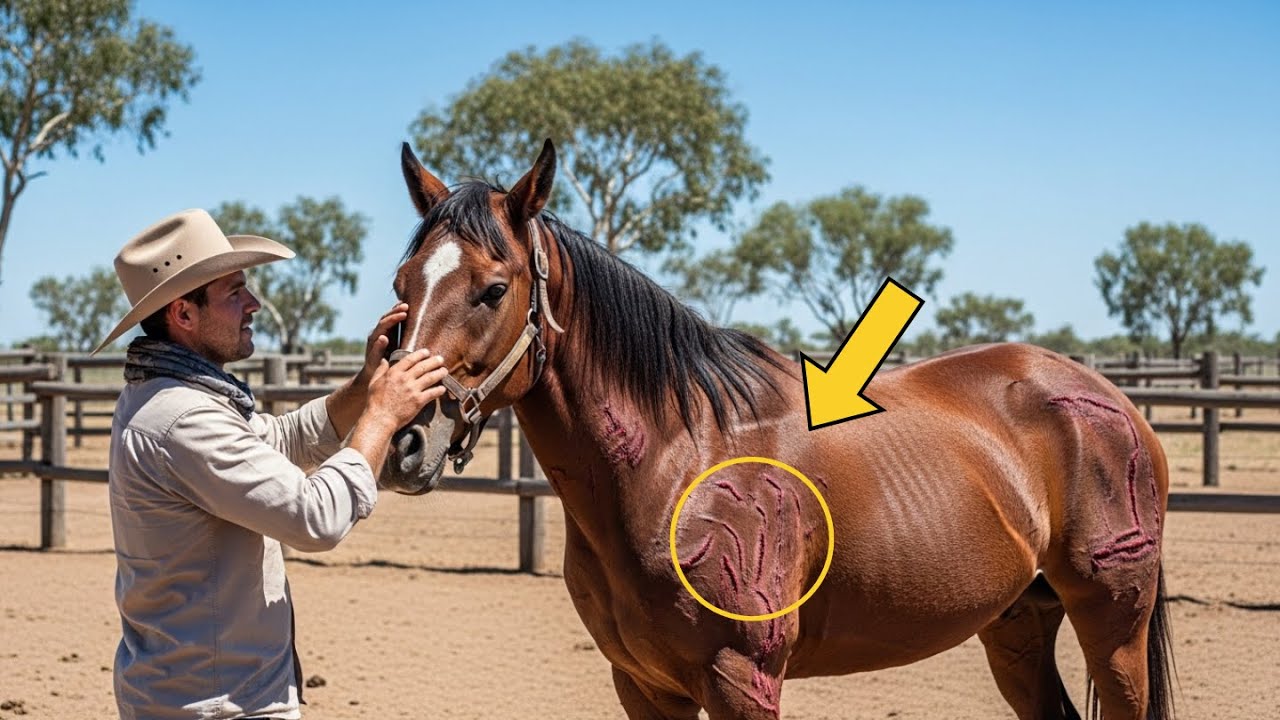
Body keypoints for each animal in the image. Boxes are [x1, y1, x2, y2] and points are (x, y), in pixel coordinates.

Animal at [380, 139, 1176, 720]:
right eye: (402, 286)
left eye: (494, 288)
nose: (403, 442)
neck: (674, 461)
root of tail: (1107, 398)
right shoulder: (644, 687)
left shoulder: (743, 681)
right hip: (1017, 622)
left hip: (1113, 620)